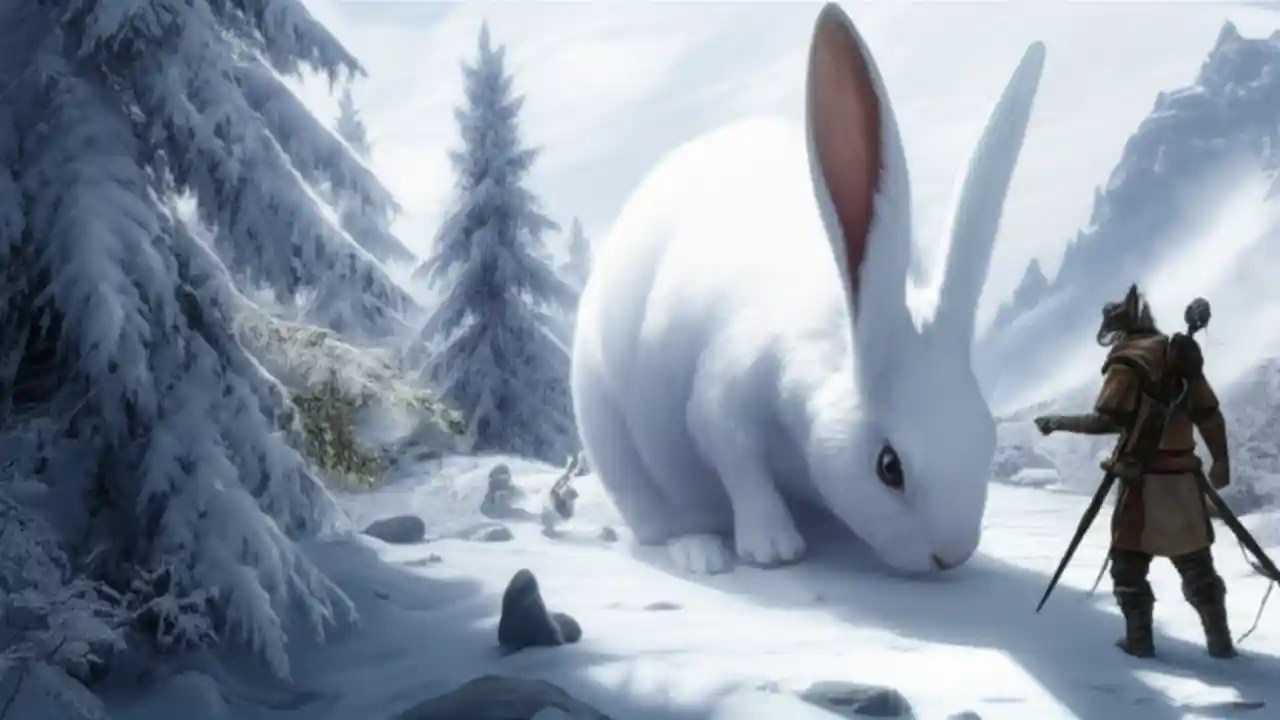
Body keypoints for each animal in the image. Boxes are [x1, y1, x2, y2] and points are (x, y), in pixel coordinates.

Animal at [571, 2, 1045, 575]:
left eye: (987, 435)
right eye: (889, 466)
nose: (951, 556)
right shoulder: (722, 397)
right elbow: (736, 460)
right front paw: (773, 547)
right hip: (622, 457)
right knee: (663, 525)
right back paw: (702, 552)